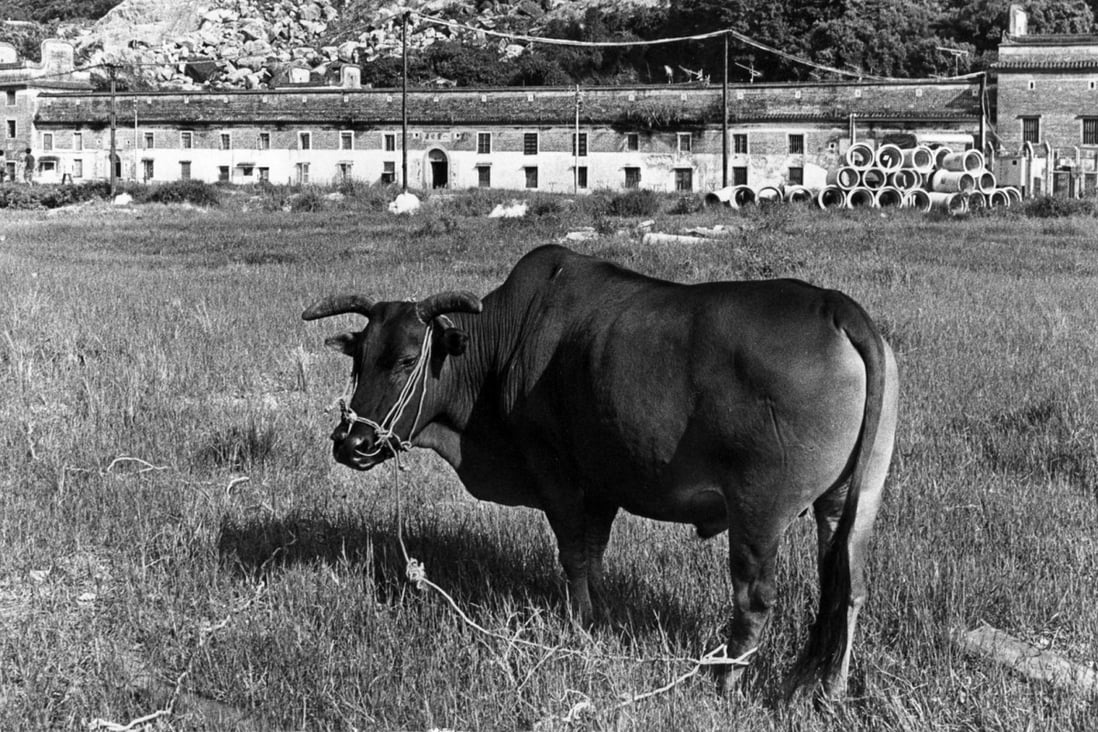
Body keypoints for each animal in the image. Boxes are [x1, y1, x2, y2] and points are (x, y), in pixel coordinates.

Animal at [302, 244, 899, 701]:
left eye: (407, 359)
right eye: (358, 359)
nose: (351, 441)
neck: (501, 347)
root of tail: (835, 307)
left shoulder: (559, 478)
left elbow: (573, 557)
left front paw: (579, 627)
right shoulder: (603, 485)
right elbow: (593, 556)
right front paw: (599, 620)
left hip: (759, 510)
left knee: (755, 599)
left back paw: (726, 682)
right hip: (854, 500)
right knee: (849, 589)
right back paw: (828, 688)